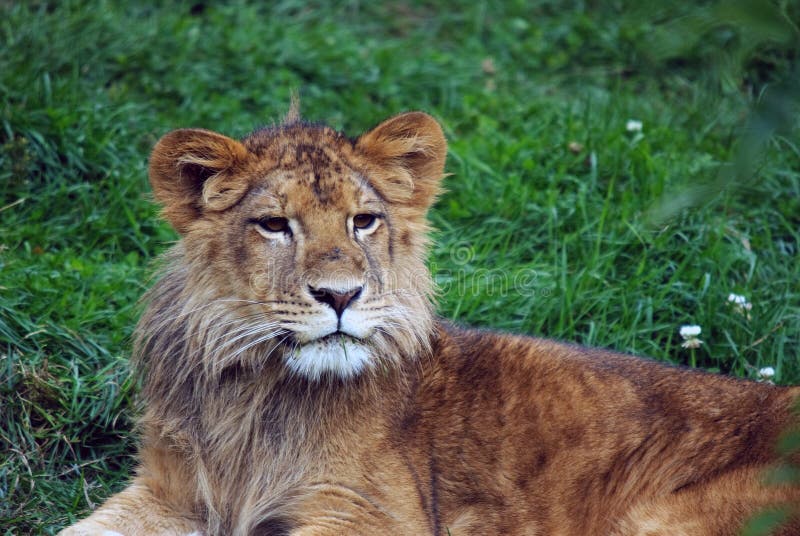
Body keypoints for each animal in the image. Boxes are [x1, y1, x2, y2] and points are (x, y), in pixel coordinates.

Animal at [60, 109, 799, 536]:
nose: (340, 295)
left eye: (364, 221)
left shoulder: (370, 516)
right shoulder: (169, 494)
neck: (256, 395)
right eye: (274, 226)